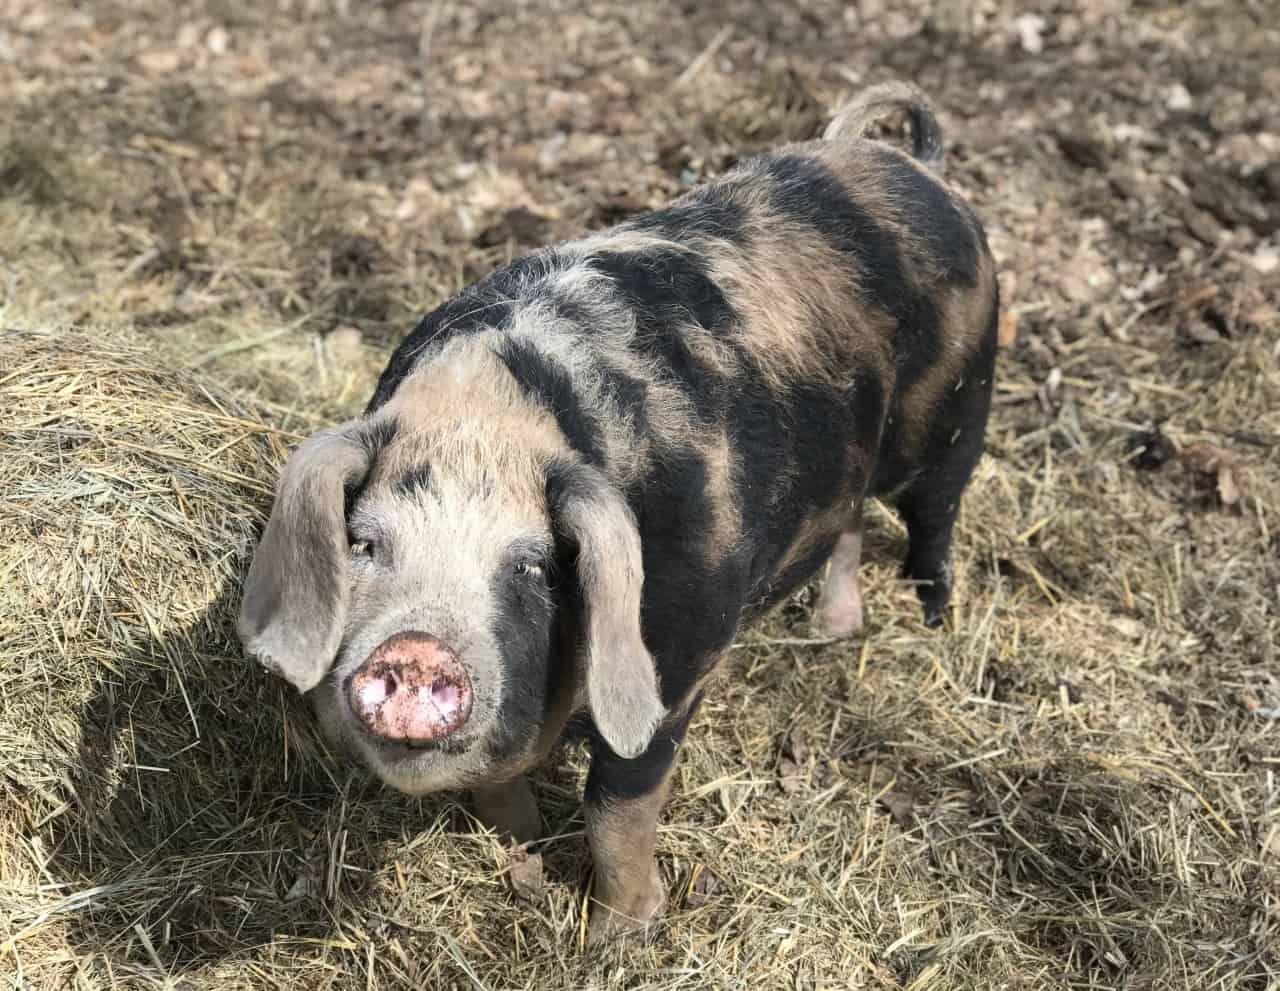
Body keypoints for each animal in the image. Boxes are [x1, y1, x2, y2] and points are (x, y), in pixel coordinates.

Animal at [237, 79, 998, 944]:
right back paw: (830, 630)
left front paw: (619, 935)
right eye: (365, 542)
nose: (420, 648)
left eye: (533, 564)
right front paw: (515, 848)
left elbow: (617, 802)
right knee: (849, 524)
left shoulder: (677, 654)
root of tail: (916, 167)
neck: (486, 416)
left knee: (934, 513)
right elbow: (503, 779)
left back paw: (934, 615)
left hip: (956, 412)